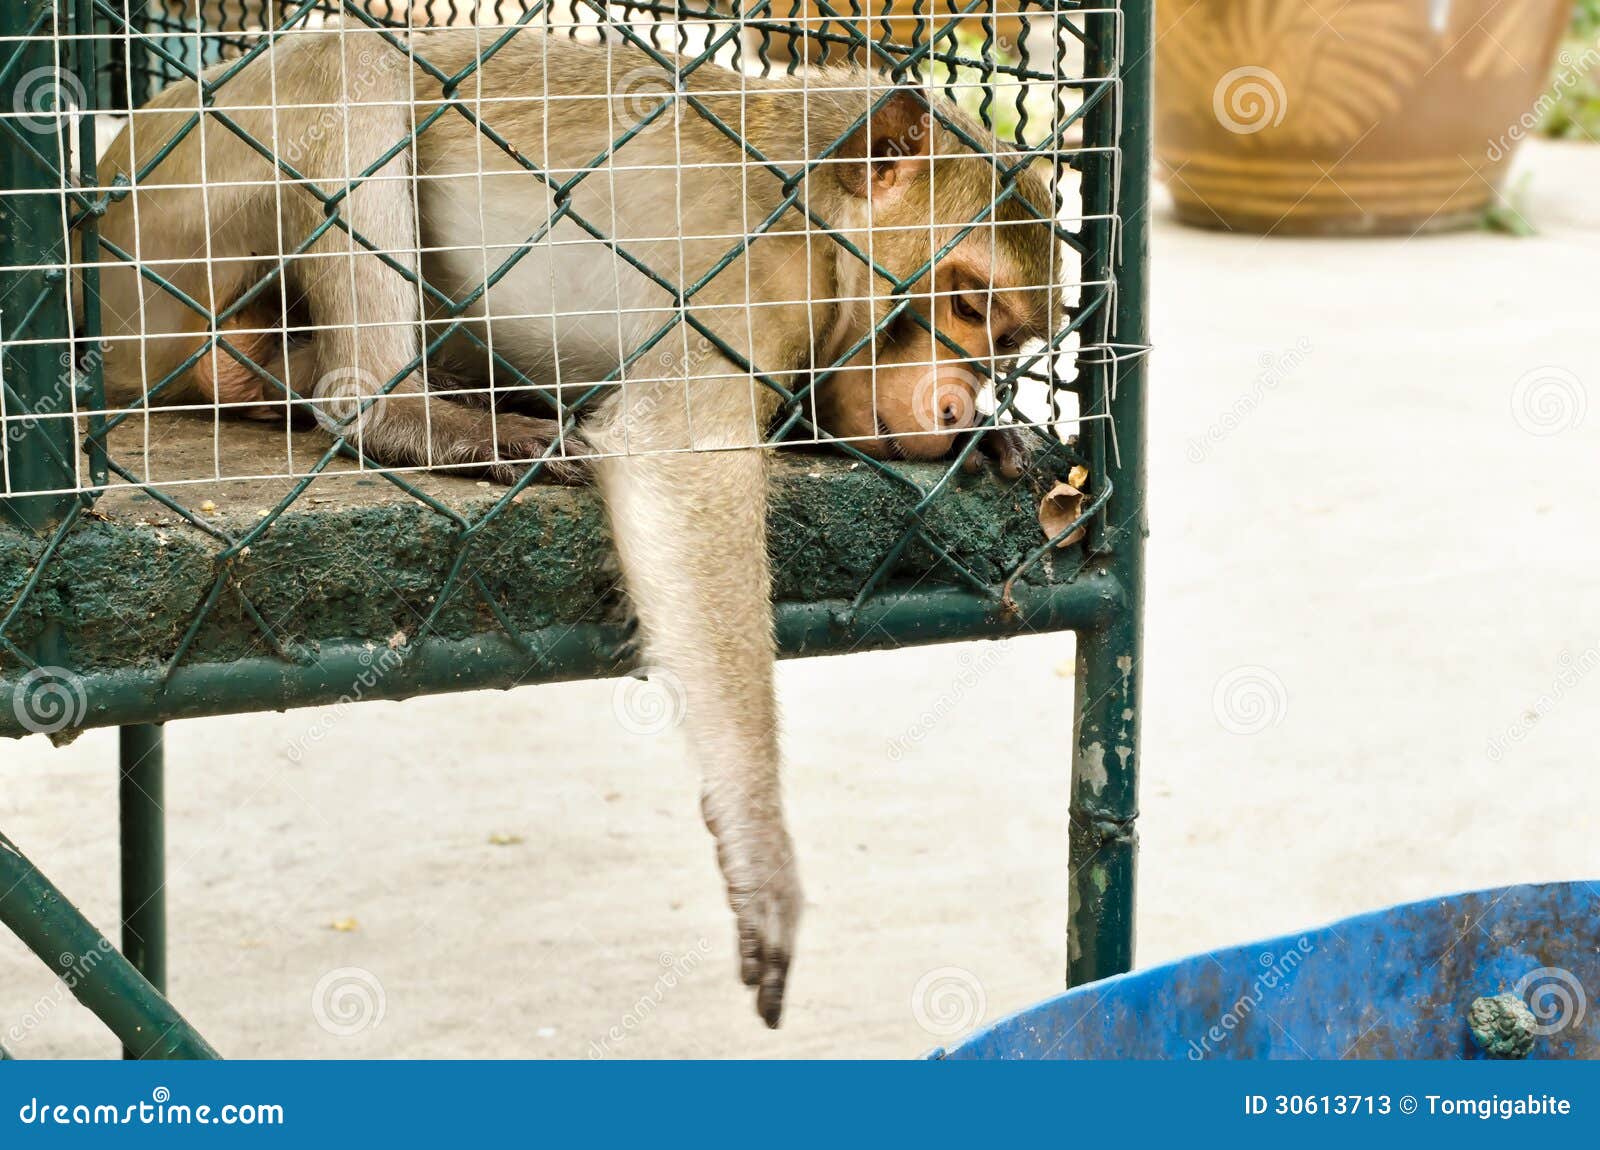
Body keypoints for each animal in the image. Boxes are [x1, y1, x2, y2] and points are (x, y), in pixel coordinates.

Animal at [90, 25, 1059, 1025]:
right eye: (966, 302)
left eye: (1006, 339)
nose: (956, 399)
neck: (814, 213)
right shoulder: (748, 283)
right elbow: (678, 460)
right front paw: (759, 837)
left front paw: (986, 438)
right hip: (173, 218)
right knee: (349, 60)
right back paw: (397, 410)